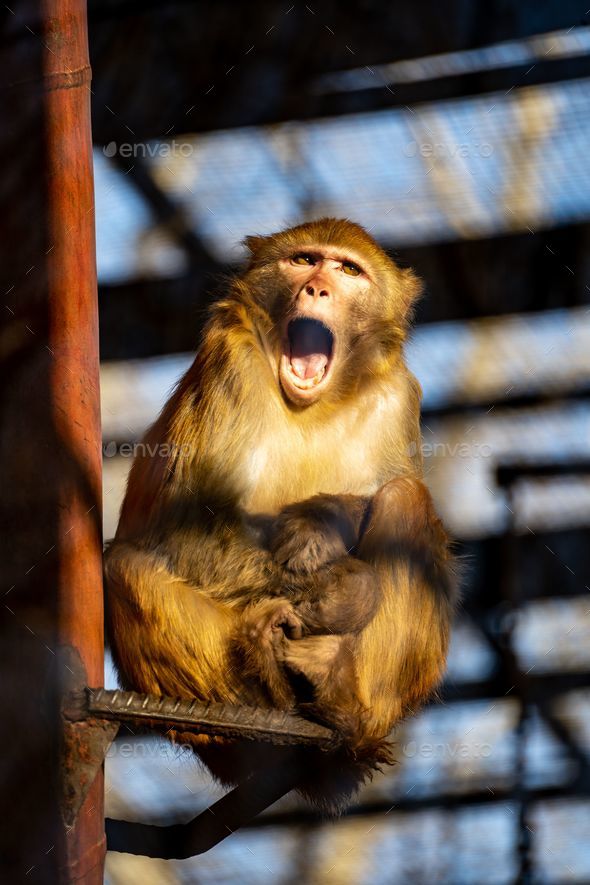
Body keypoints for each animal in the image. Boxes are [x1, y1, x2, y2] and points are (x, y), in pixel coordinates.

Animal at [104, 217, 457, 812]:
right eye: (304, 260)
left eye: (348, 270)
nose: (316, 288)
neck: (316, 404)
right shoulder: (229, 359)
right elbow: (180, 530)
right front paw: (343, 590)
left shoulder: (397, 395)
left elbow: (389, 491)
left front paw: (321, 522)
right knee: (125, 566)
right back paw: (264, 681)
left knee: (406, 499)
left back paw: (342, 701)